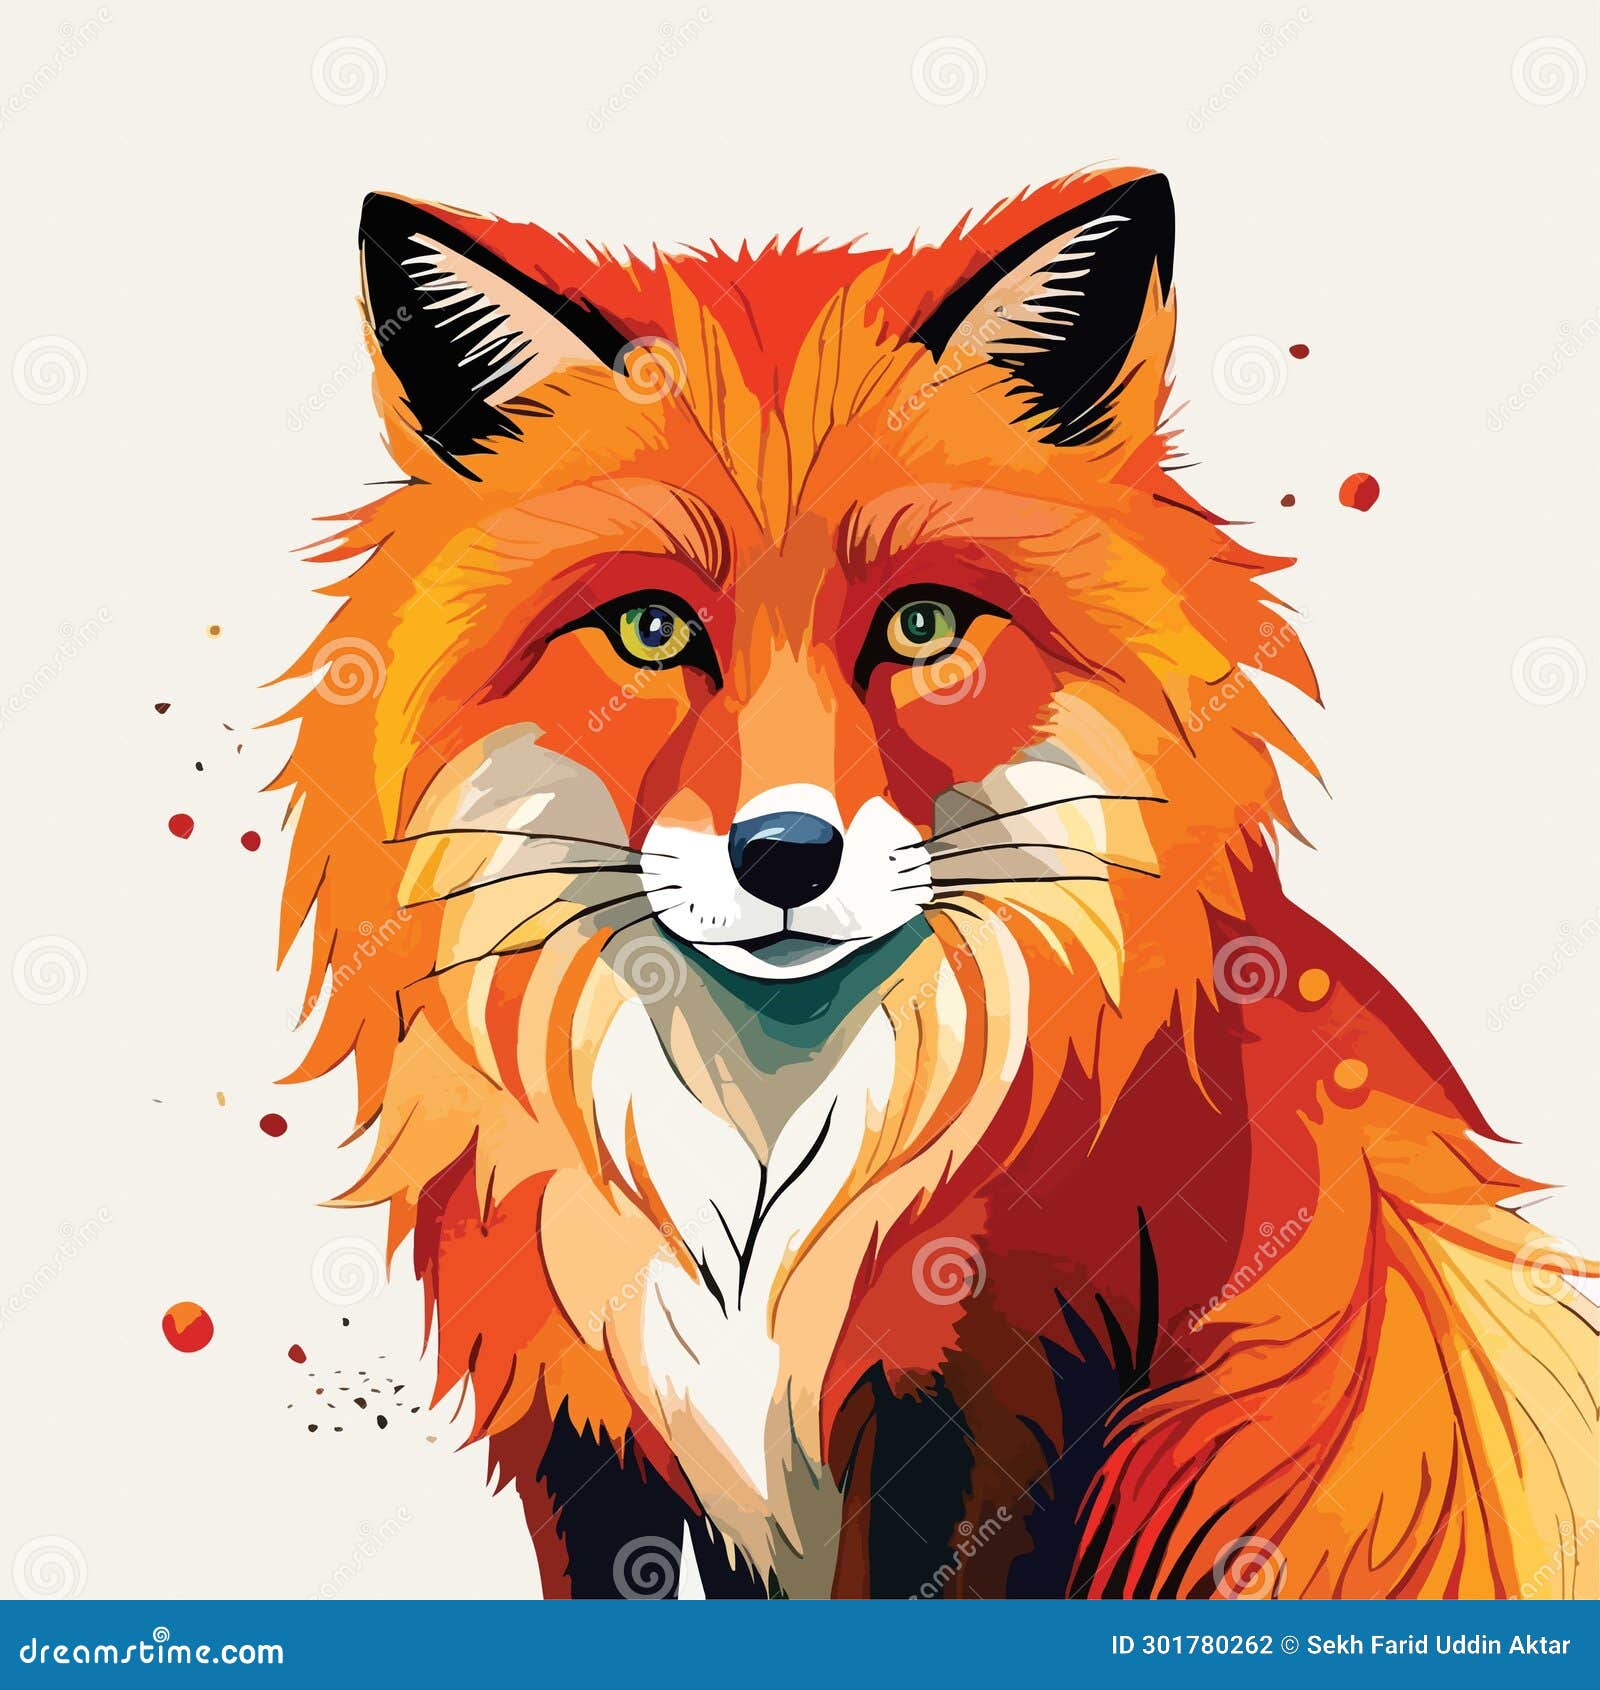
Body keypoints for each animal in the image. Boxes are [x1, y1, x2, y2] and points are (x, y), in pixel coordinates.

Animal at [272, 169, 1597, 1600]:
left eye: (921, 626)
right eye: (651, 629)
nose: (784, 855)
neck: (763, 1154)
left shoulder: (991, 1405)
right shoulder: (583, 1425)